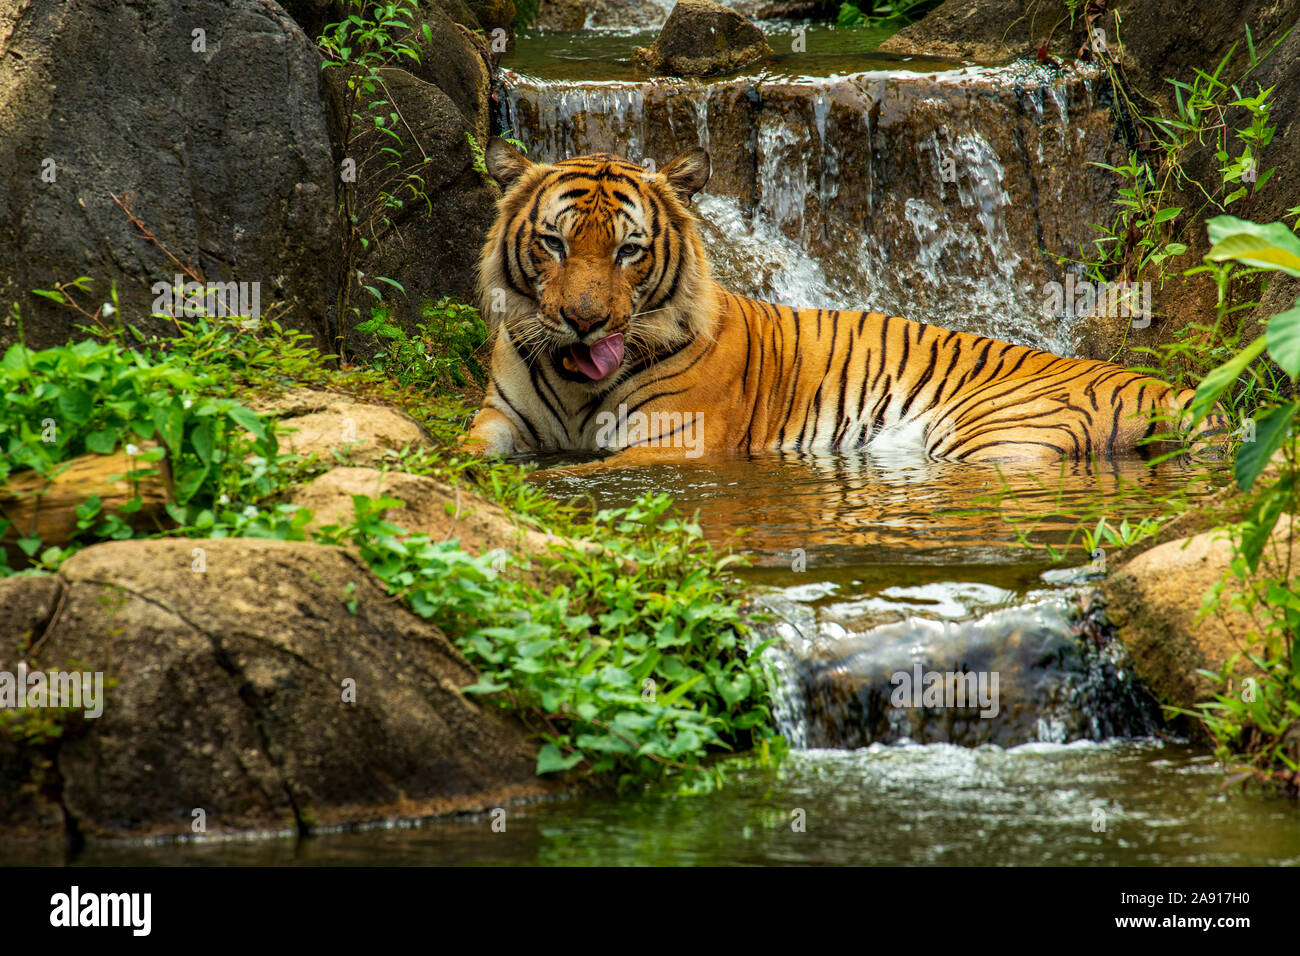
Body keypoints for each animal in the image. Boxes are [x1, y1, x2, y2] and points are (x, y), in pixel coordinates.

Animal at [465, 138, 1212, 464]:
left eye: (628, 251)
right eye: (555, 243)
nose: (584, 323)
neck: (574, 385)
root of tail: (1174, 388)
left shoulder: (674, 440)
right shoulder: (501, 418)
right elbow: (468, 450)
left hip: (991, 436)